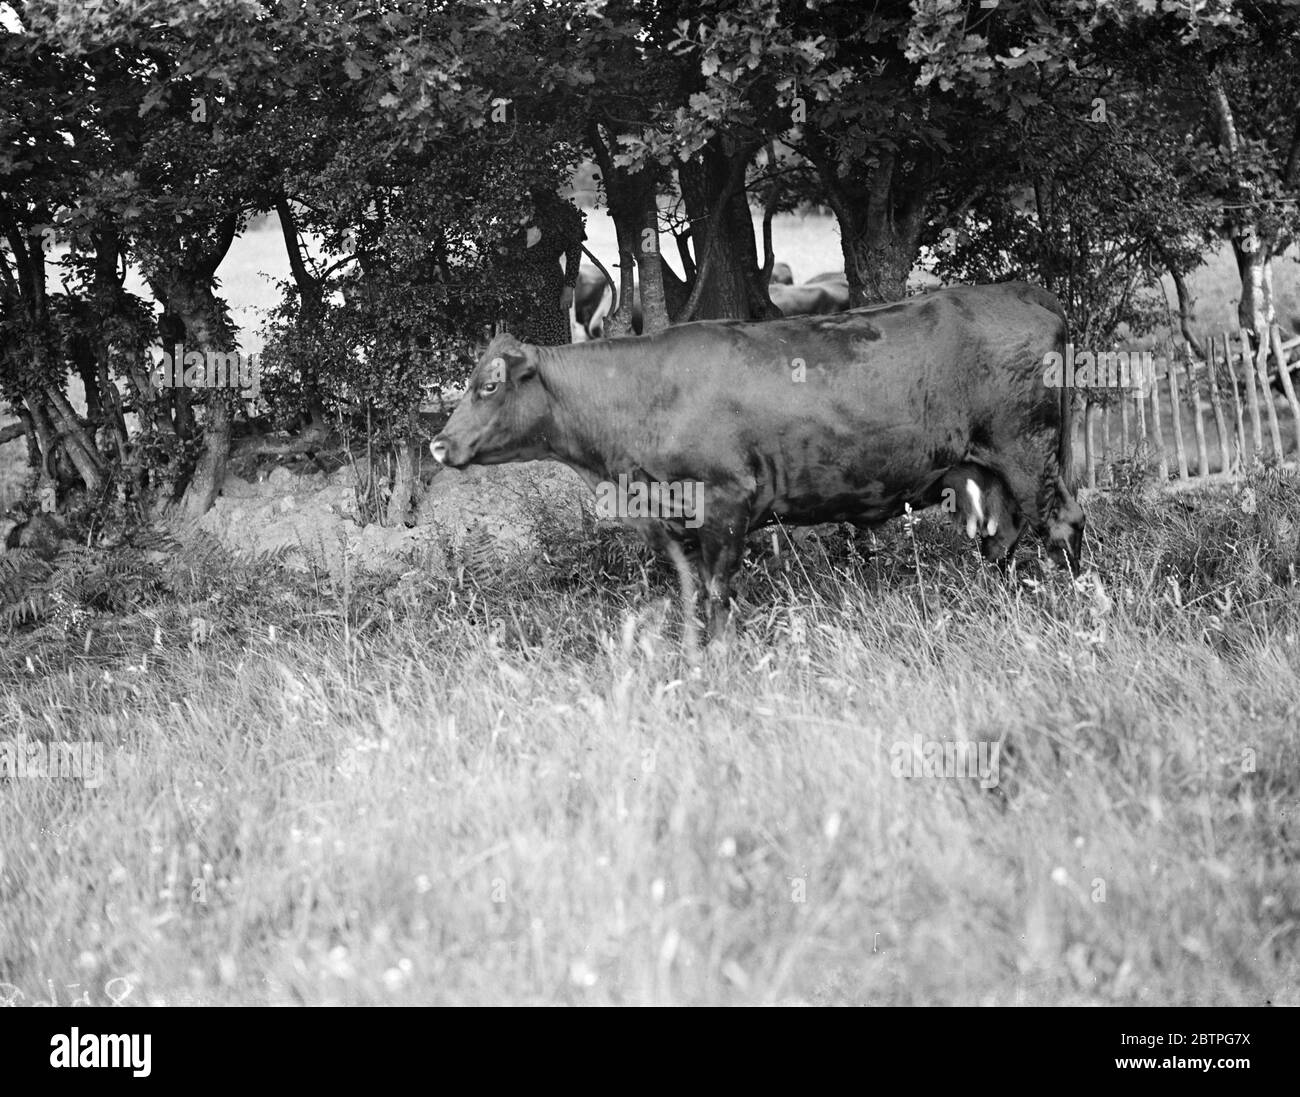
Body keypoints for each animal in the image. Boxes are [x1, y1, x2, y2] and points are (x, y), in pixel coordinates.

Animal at [431, 282, 1085, 651]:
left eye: (488, 384)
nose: (438, 445)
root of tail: (1022, 292)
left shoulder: (727, 501)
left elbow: (720, 592)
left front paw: (722, 657)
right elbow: (696, 592)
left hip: (1028, 453)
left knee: (1063, 524)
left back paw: (1074, 605)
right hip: (986, 469)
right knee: (1002, 536)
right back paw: (995, 605)